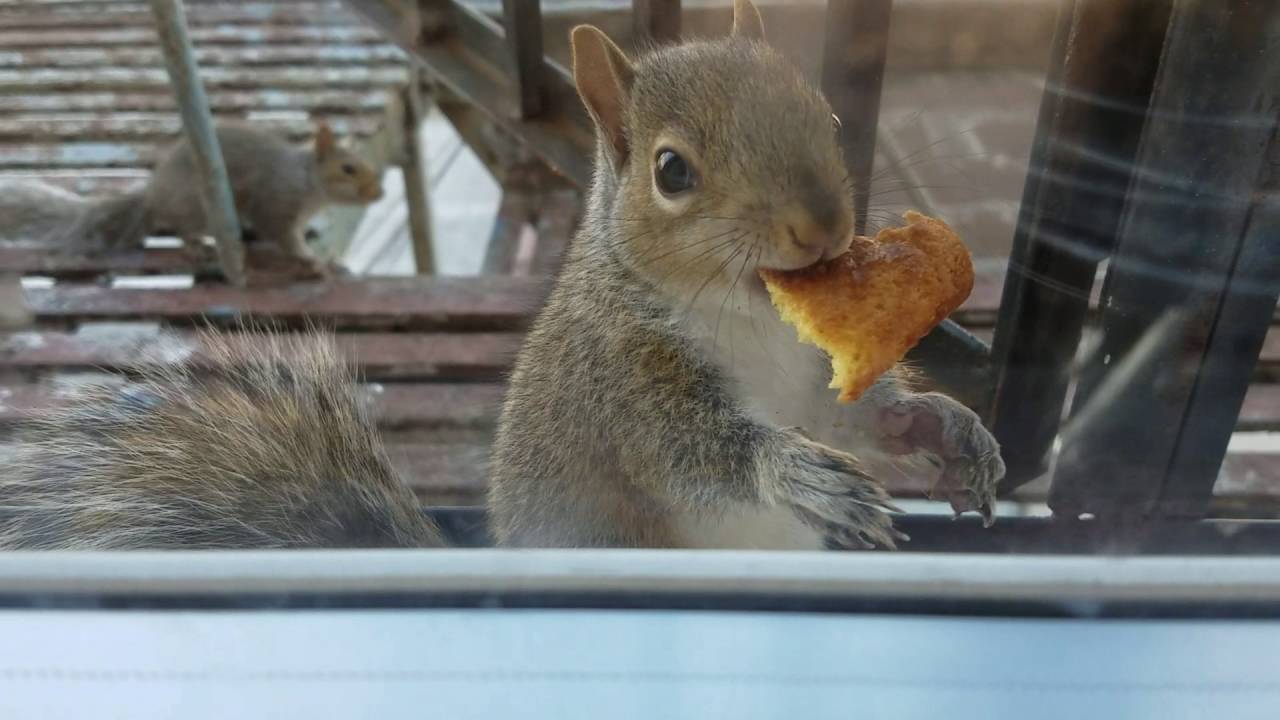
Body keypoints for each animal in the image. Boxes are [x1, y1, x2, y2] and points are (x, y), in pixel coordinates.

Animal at [0, 122, 383, 274]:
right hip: (197, 207)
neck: (307, 181)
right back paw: (198, 247)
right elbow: (284, 238)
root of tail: (152, 197)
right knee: (182, 229)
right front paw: (313, 260)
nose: (379, 193)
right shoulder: (276, 203)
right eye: (348, 169)